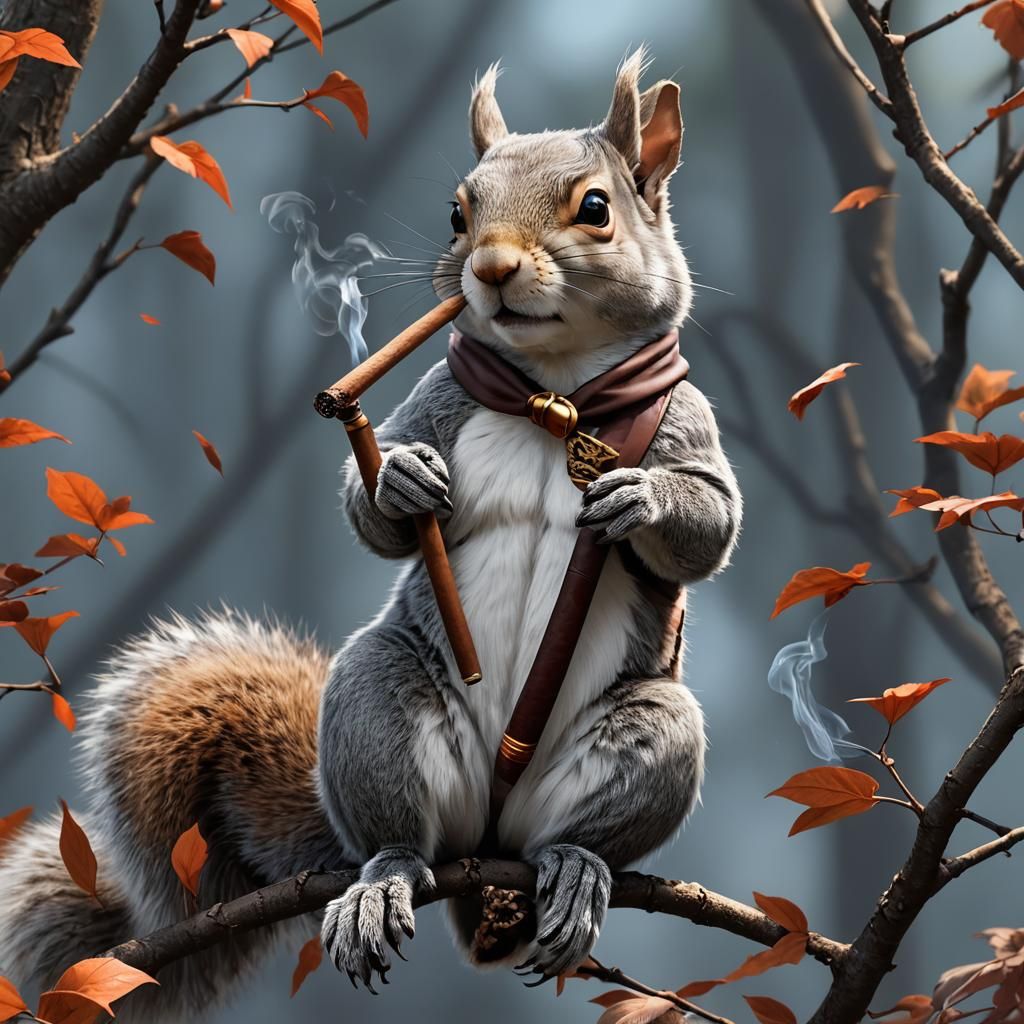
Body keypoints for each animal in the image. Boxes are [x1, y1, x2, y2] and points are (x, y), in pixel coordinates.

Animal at [0, 48, 741, 1020]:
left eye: (595, 208)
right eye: (459, 212)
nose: (491, 267)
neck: (555, 391)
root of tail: (489, 845)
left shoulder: (687, 420)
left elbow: (712, 522)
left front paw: (638, 498)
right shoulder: (436, 400)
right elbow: (379, 512)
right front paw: (400, 480)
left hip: (651, 733)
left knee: (588, 826)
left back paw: (578, 870)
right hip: (376, 708)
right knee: (400, 839)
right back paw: (379, 884)